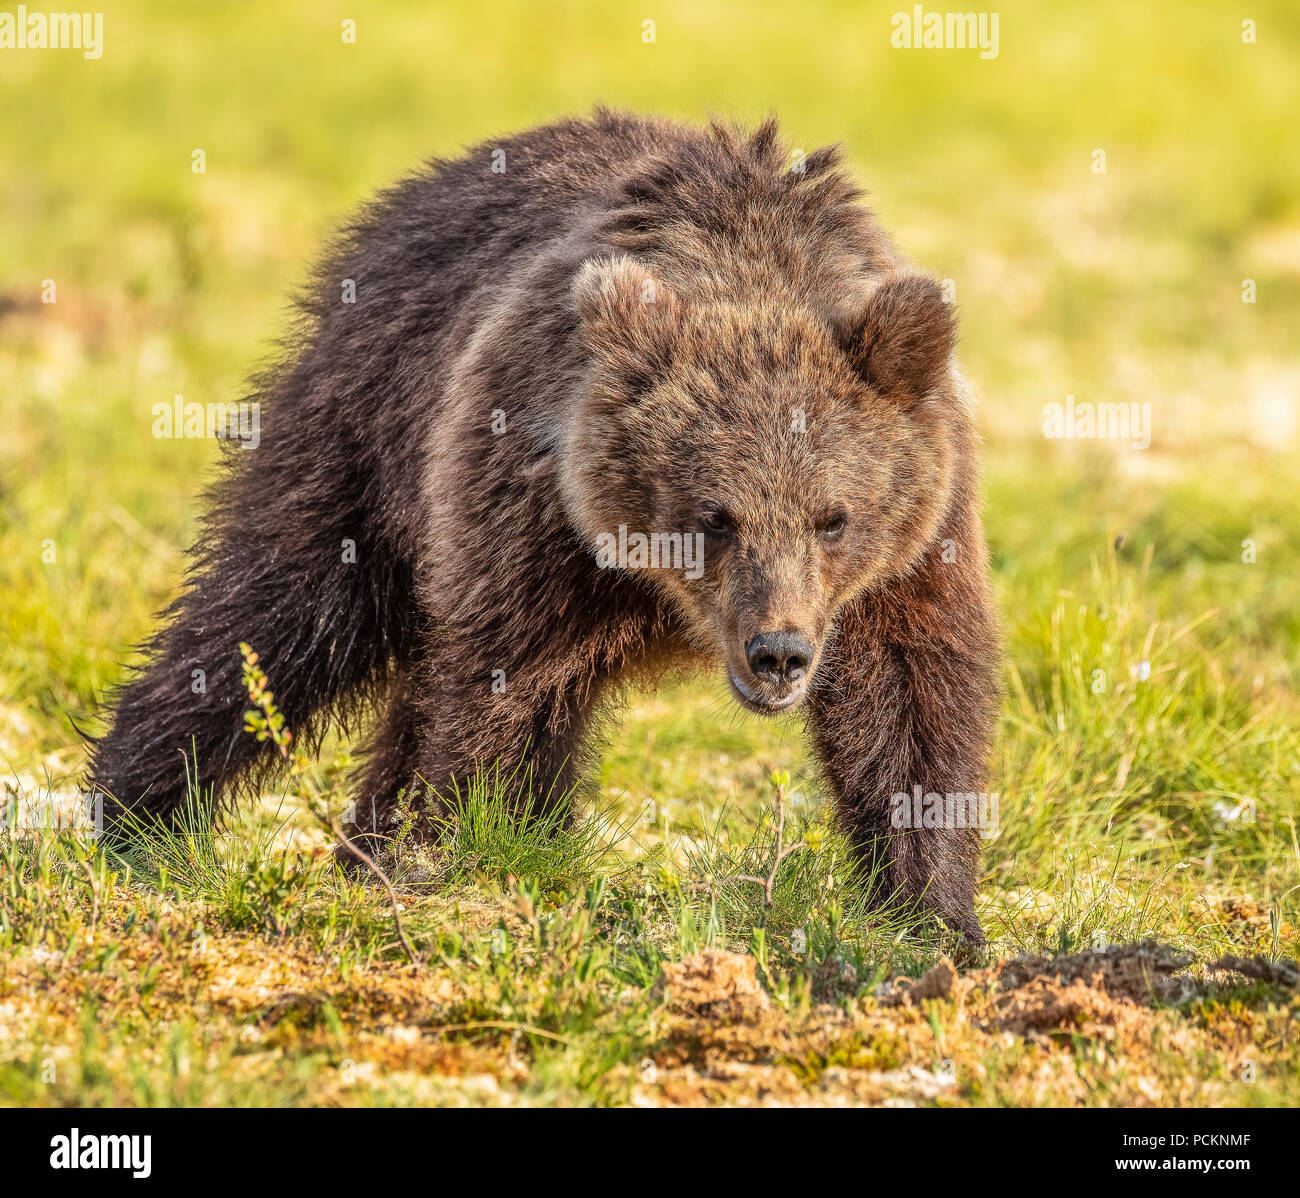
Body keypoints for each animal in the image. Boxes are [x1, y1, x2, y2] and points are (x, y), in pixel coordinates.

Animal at [90, 109, 1000, 944]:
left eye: (832, 518)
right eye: (714, 516)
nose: (778, 652)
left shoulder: (915, 550)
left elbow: (911, 703)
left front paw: (931, 911)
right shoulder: (535, 515)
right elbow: (506, 692)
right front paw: (480, 855)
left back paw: (365, 845)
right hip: (367, 432)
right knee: (277, 614)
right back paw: (134, 812)